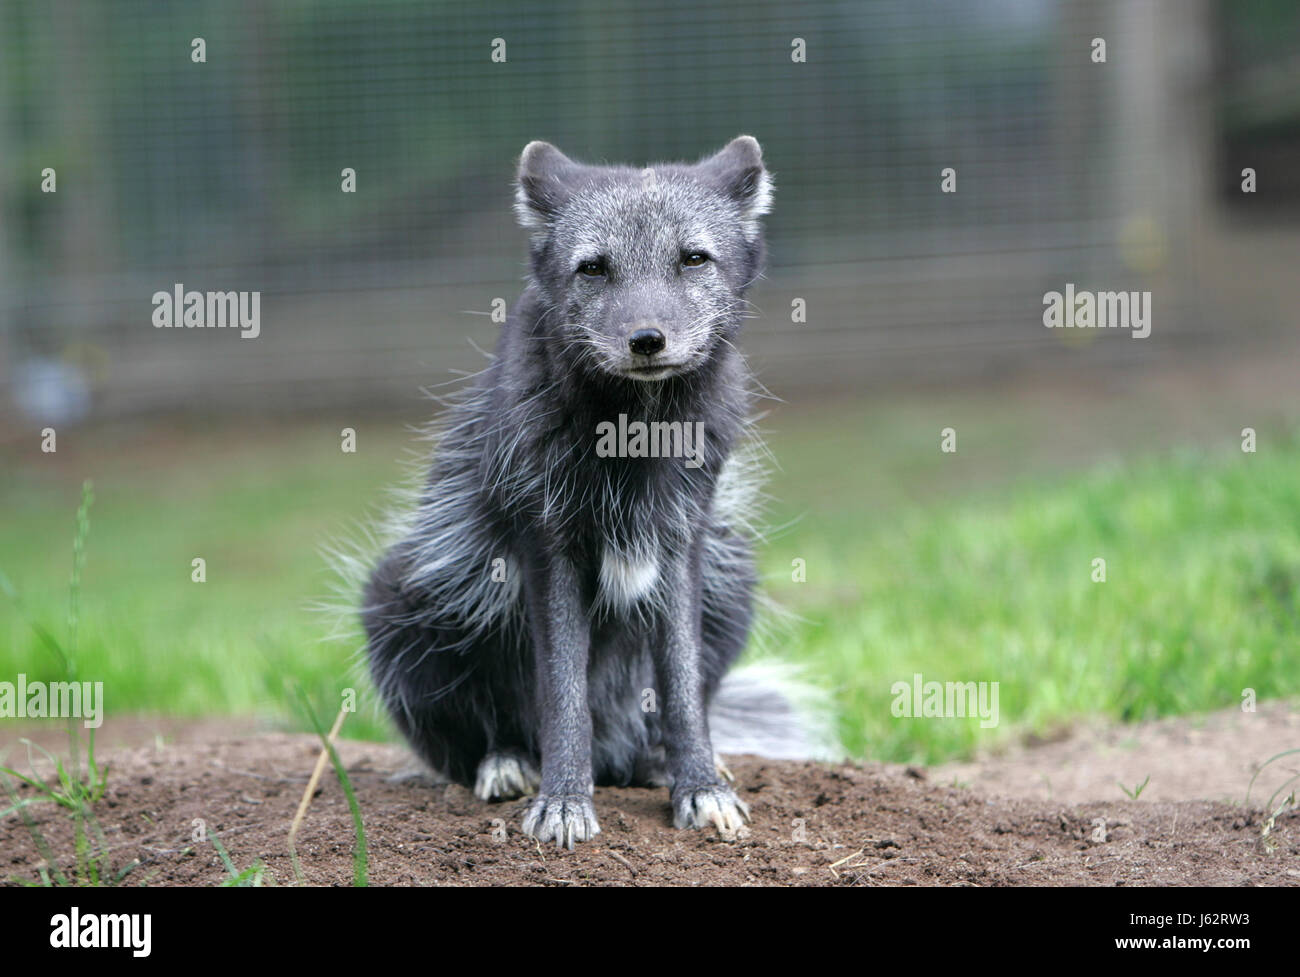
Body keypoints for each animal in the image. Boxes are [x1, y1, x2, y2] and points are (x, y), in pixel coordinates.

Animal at [362, 135, 826, 849]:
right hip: (400, 599)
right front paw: (563, 801)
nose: (647, 340)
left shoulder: (683, 540)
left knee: (650, 727)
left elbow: (683, 688)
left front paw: (701, 787)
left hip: (734, 577)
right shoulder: (547, 544)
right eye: (594, 269)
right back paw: (509, 764)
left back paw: (652, 762)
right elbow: (562, 694)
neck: (633, 438)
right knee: (485, 738)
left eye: (693, 258)